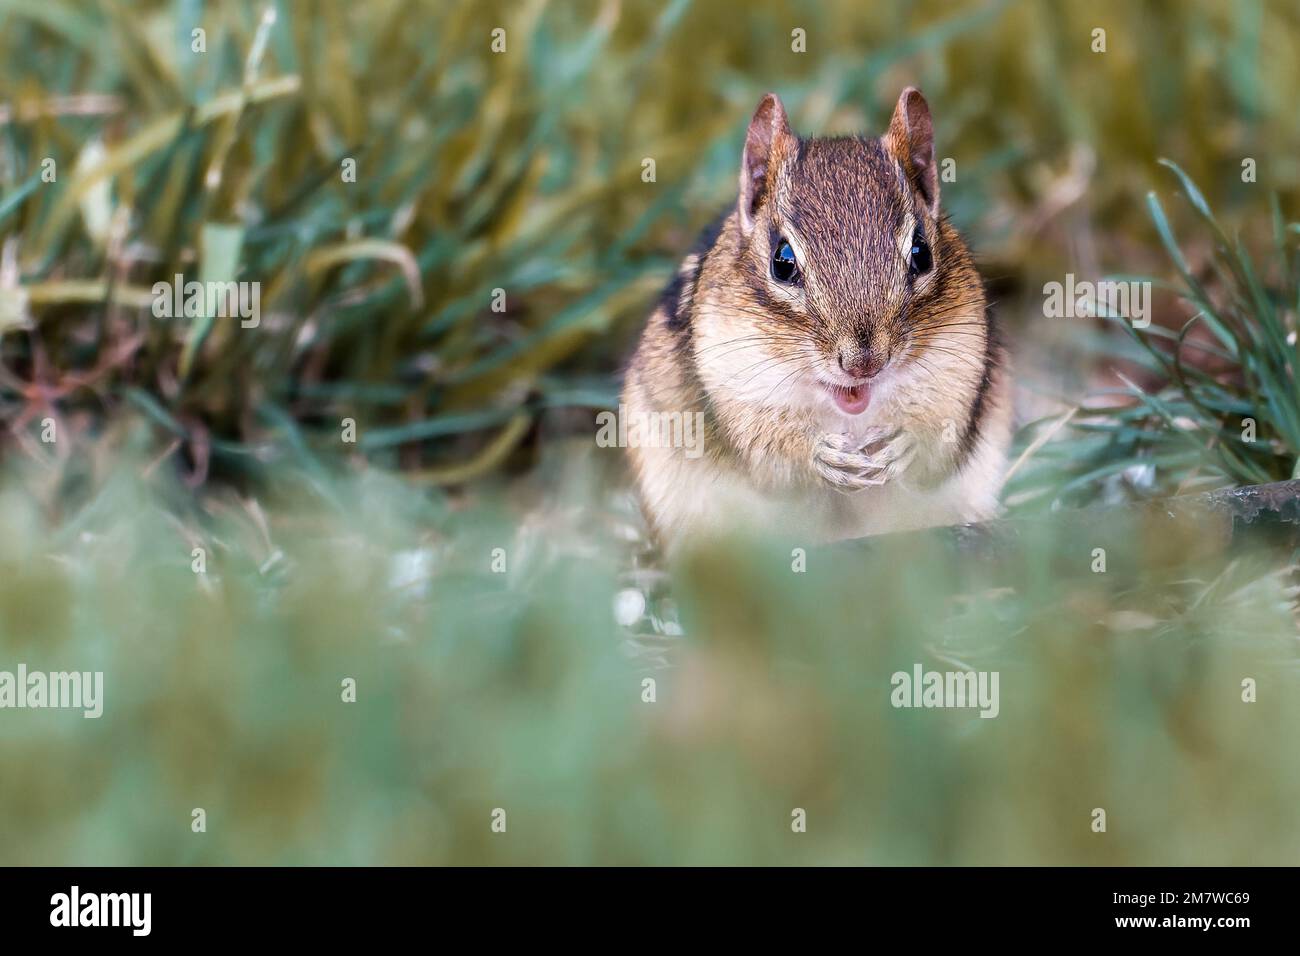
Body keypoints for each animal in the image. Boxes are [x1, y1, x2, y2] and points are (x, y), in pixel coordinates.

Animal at [621, 88, 1012, 548]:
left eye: (921, 253)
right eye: (782, 261)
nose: (864, 363)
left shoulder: (958, 381)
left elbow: (936, 451)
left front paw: (904, 447)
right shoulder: (739, 398)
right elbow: (774, 459)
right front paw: (820, 456)